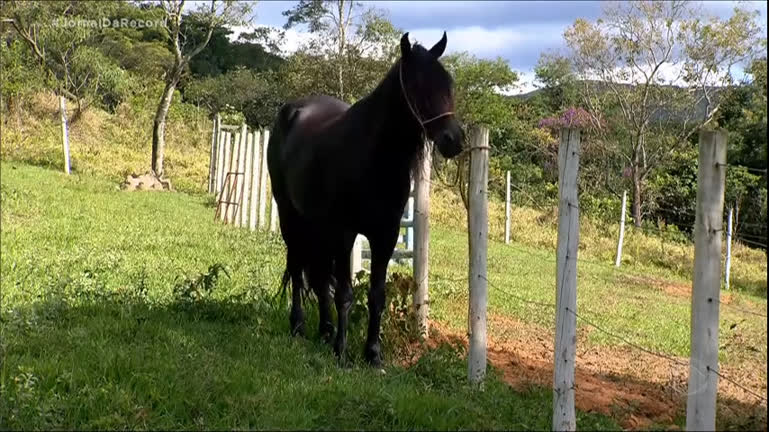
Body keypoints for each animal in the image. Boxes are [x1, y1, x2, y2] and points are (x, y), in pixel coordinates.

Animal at [266, 31, 464, 367]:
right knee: (297, 270)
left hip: (319, 227)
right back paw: (299, 327)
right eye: (418, 85)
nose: (455, 140)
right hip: (290, 216)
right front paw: (342, 351)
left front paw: (372, 354)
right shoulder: (345, 232)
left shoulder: (385, 235)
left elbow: (376, 295)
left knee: (319, 277)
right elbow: (345, 293)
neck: (374, 157)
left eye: (448, 84)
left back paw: (325, 330)